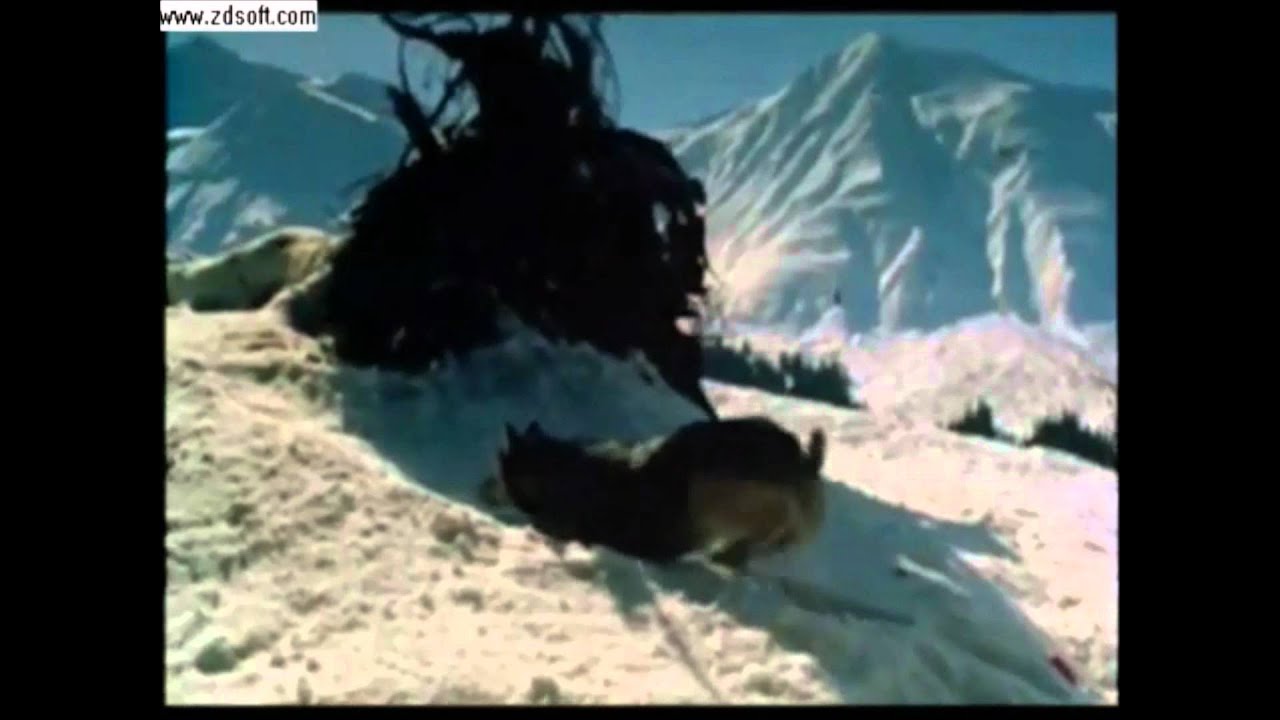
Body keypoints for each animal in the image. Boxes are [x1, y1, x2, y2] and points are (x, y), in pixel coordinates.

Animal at [485, 416, 827, 570]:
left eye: (498, 469)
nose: (480, 490)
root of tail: (800, 457)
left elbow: (541, 522)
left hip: (708, 488)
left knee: (775, 525)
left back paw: (731, 552)